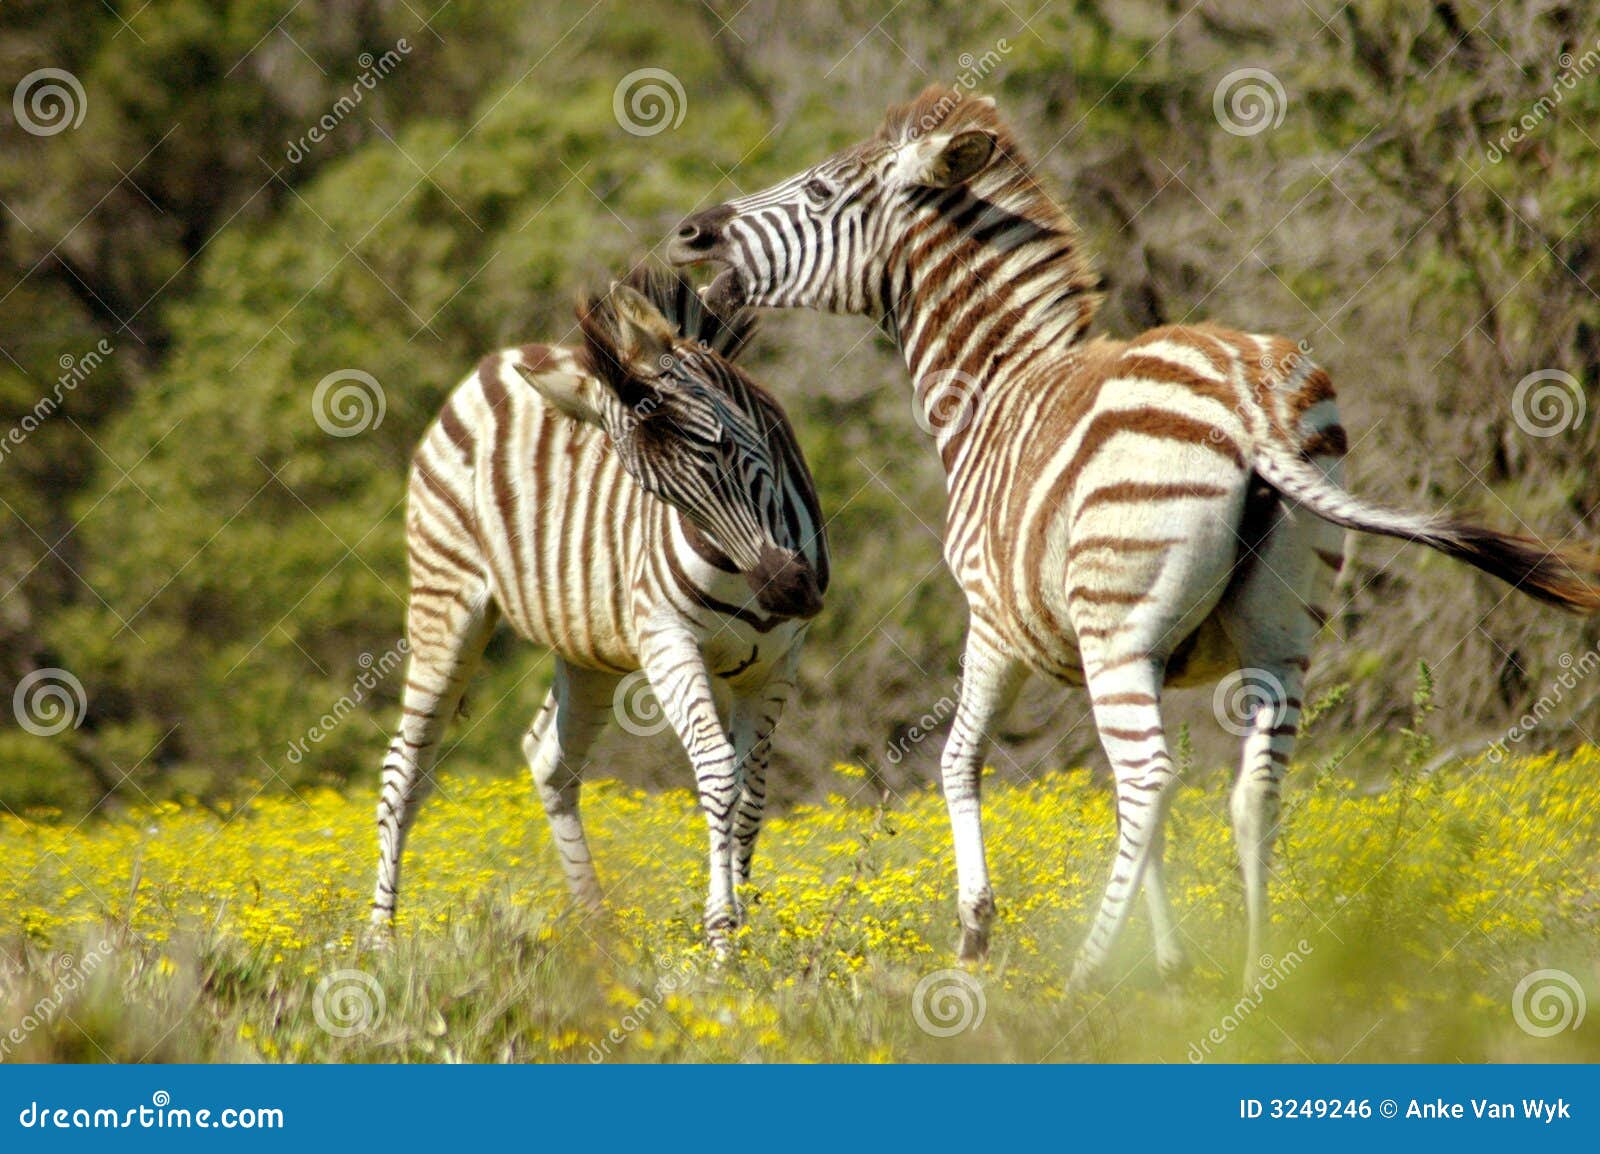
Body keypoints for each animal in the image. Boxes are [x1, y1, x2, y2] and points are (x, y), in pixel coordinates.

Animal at [369, 268, 828, 949]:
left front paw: (749, 927)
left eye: (724, 446)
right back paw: (379, 939)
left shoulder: (778, 664)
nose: (784, 589)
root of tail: (504, 359)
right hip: (445, 596)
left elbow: (753, 796)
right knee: (405, 768)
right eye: (663, 496)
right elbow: (719, 775)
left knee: (549, 760)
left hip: (587, 648)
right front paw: (723, 938)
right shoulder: (668, 642)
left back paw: (598, 931)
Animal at [667, 85, 1600, 987]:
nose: (689, 232)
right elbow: (1114, 799)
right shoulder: (1100, 650)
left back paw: (1082, 975)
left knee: (1153, 776)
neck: (990, 391)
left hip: (1122, 626)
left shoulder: (995, 621)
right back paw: (1257, 981)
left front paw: (975, 935)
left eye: (821, 191)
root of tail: (1251, 398)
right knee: (1253, 789)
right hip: (1277, 633)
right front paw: (1168, 965)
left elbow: (961, 760)